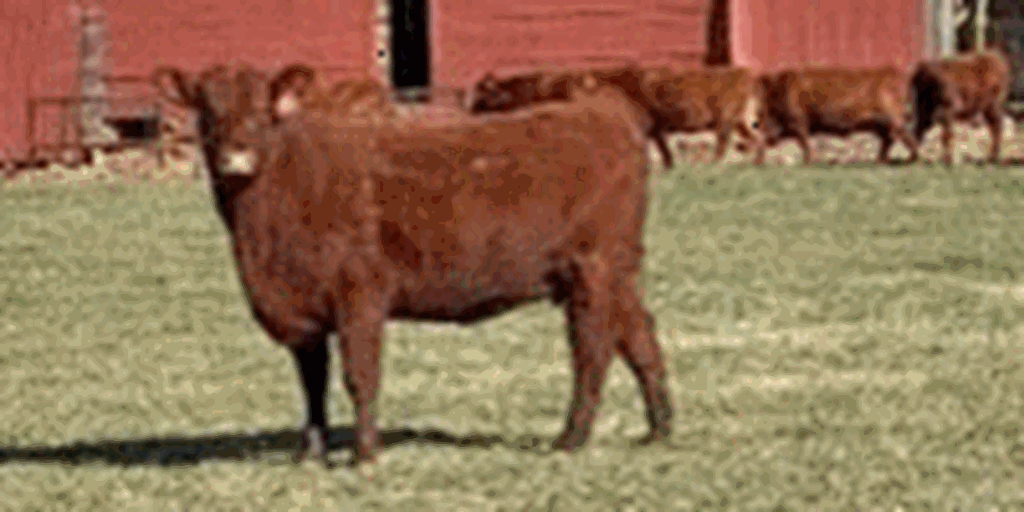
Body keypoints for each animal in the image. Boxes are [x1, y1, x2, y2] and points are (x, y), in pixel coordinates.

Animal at [151, 62, 673, 467]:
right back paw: (659, 430)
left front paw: (364, 455)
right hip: (616, 274)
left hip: (594, 268)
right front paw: (310, 453)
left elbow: (359, 375)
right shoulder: (300, 307)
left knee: (592, 351)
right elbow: (312, 384)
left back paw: (570, 439)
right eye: (206, 111)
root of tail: (604, 110)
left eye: (264, 111)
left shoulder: (359, 292)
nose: (235, 156)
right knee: (641, 339)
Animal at [755, 65, 920, 165]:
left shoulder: (797, 120)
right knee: (890, 139)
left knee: (903, 136)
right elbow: (769, 141)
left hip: (892, 117)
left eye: (763, 102)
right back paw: (881, 161)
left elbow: (805, 142)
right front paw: (758, 161)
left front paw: (809, 162)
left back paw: (914, 159)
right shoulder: (788, 126)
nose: (755, 122)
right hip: (882, 123)